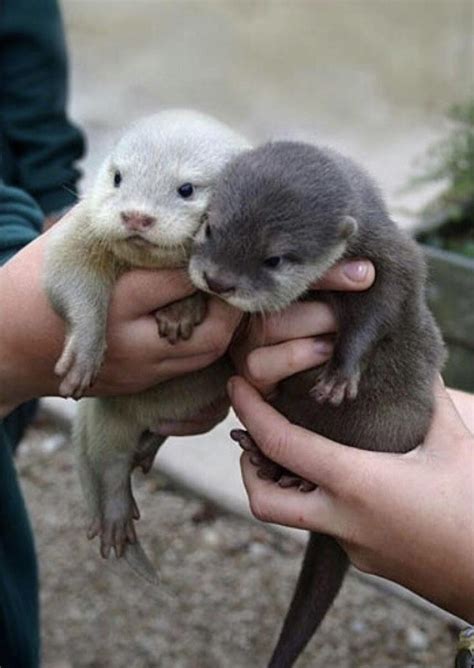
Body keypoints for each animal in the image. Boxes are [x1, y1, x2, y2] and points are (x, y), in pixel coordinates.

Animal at [44, 110, 249, 582]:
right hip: (110, 414)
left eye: (187, 189)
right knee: (111, 465)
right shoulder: (81, 230)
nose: (136, 217)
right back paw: (117, 512)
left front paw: (181, 310)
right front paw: (85, 351)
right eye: (117, 176)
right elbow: (67, 274)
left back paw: (147, 449)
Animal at [189, 140, 445, 667]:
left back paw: (288, 471)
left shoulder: (391, 257)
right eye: (210, 227)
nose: (218, 280)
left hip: (385, 426)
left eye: (275, 259)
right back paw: (266, 458)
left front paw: (341, 373)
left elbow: (381, 309)